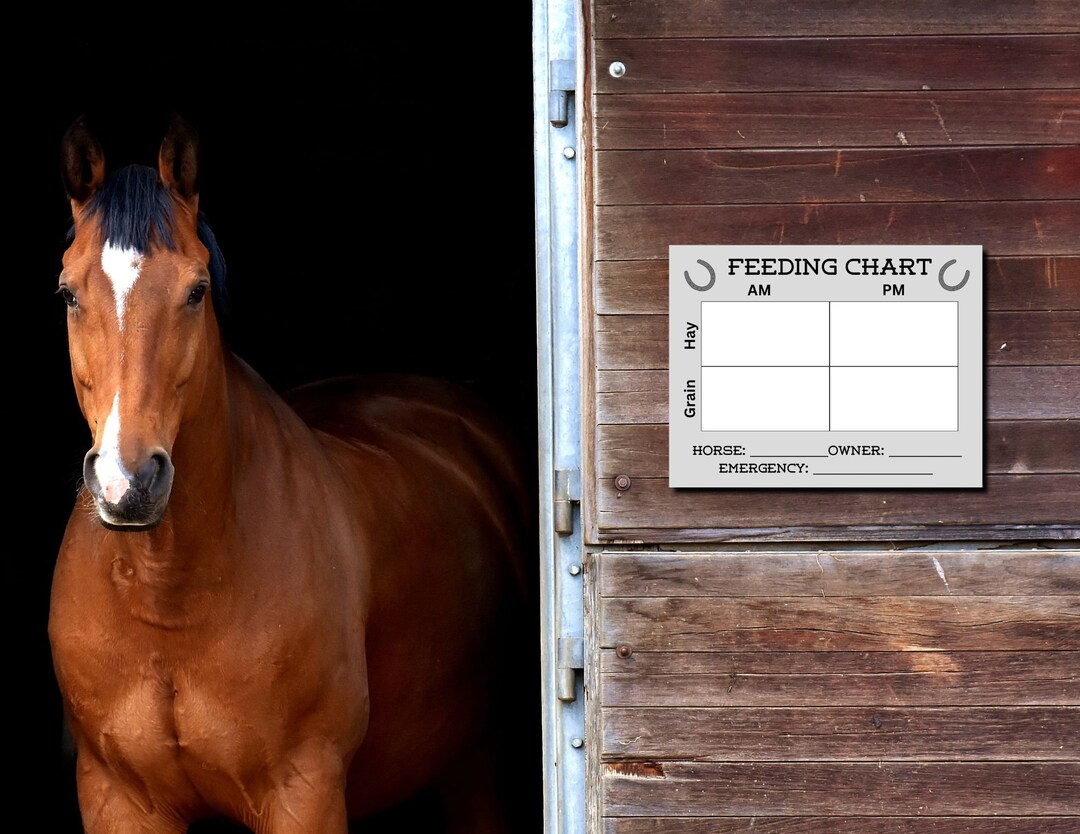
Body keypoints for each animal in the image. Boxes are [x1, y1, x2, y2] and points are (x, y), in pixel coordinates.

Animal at [47, 114, 533, 833]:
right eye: (68, 292)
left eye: (195, 290)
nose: (127, 484)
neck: (168, 599)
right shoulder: (116, 797)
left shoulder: (303, 792)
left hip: (479, 765)